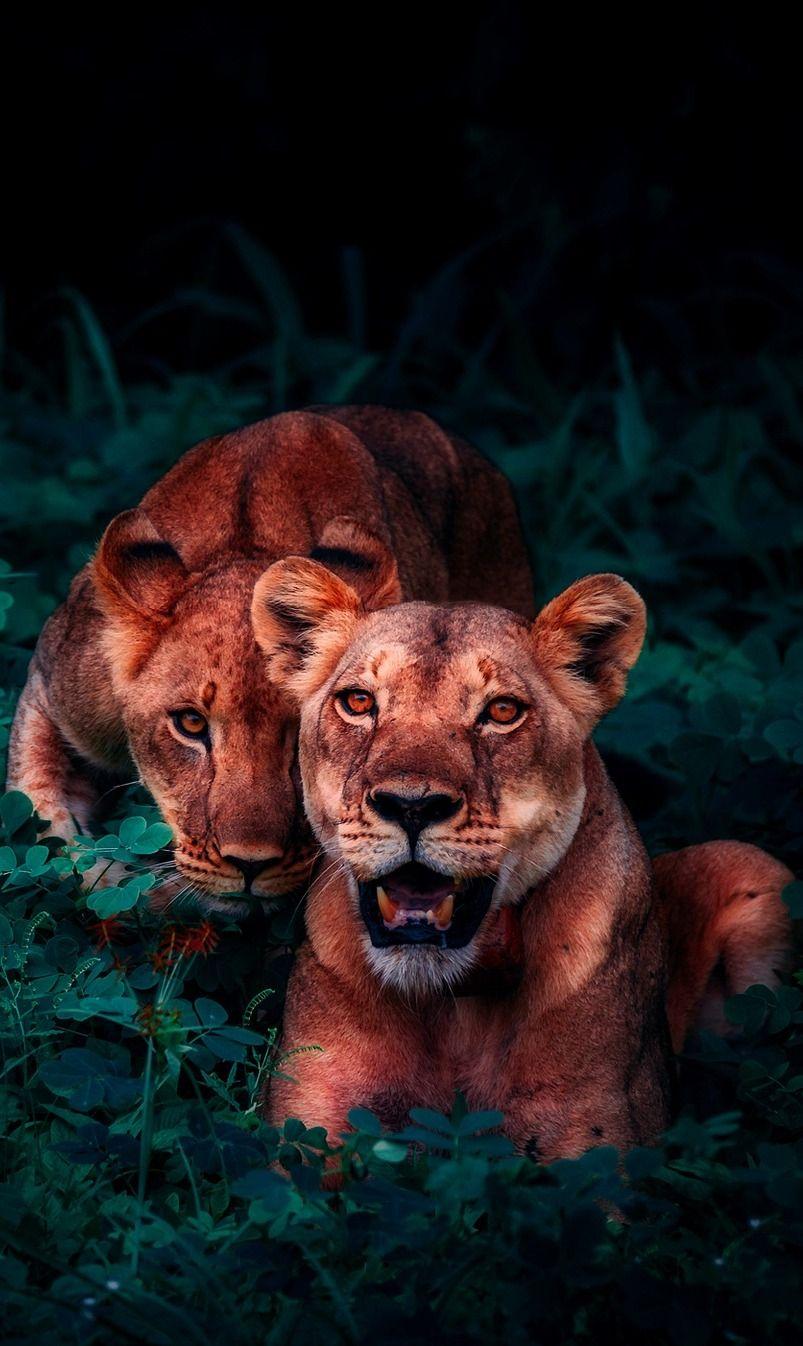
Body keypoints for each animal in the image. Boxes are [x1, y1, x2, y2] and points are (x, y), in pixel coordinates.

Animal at [252, 559, 792, 1158]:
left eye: (502, 712)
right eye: (358, 702)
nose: (411, 805)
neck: (453, 1005)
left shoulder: (595, 1143)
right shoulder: (307, 1125)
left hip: (753, 865)